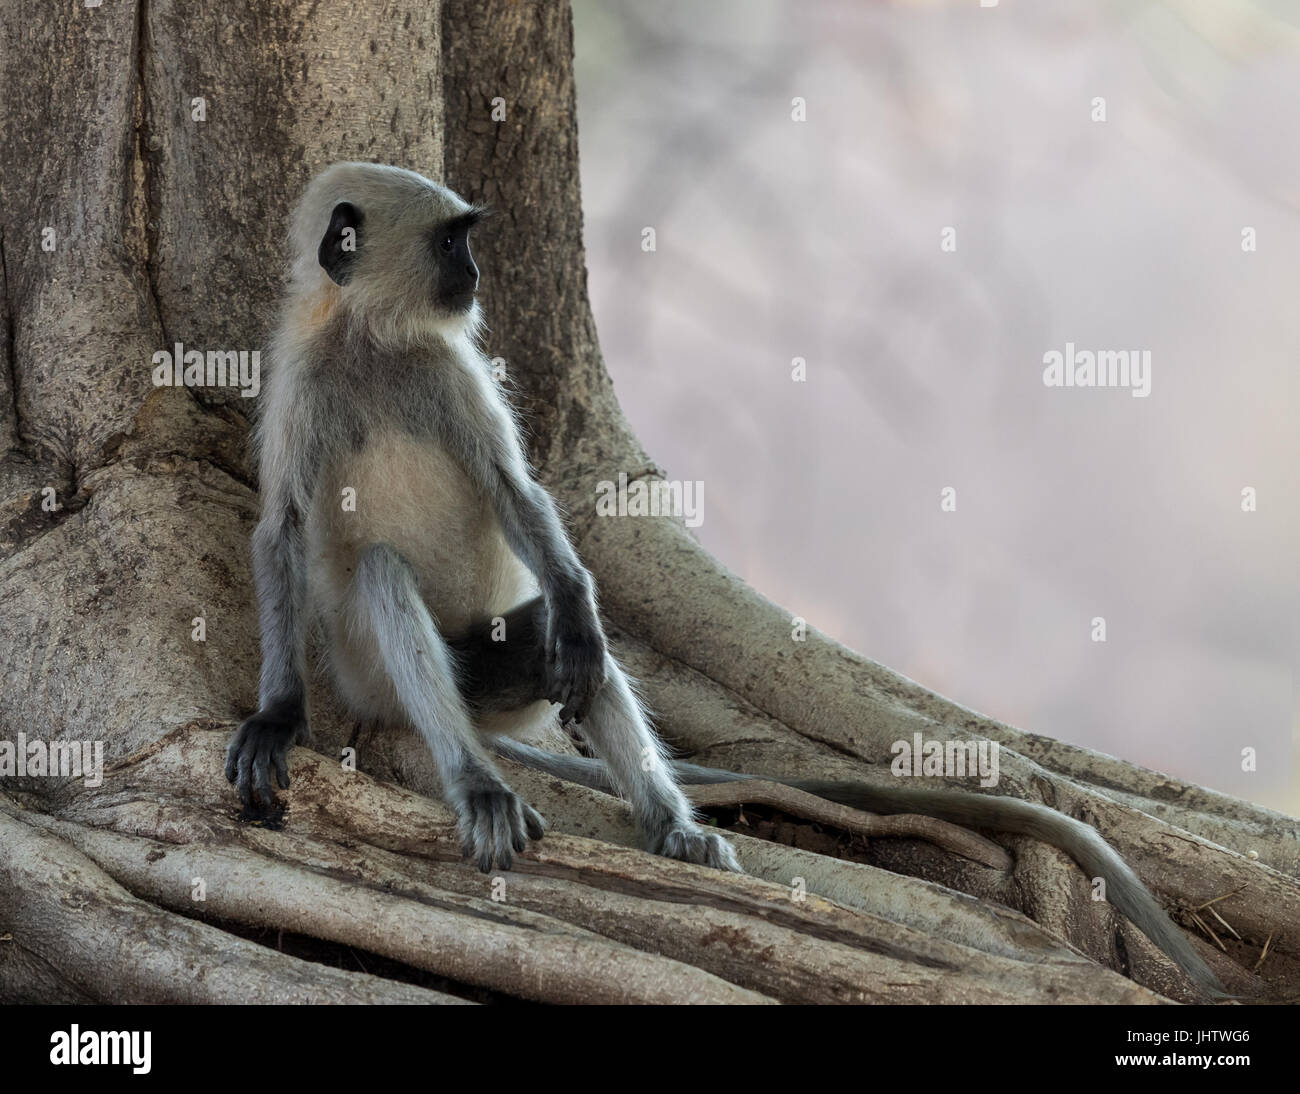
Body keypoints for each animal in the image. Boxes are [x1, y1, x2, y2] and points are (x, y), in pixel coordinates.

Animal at [228, 161, 1223, 999]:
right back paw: (478, 785)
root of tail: (487, 723)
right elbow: (281, 531)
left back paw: (668, 821)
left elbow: (517, 495)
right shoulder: (300, 380)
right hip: (373, 673)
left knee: (565, 642)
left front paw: (579, 610)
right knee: (383, 577)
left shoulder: (449, 365)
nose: (474, 273)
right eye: (449, 242)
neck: (374, 344)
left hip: (502, 668)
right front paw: (278, 715)